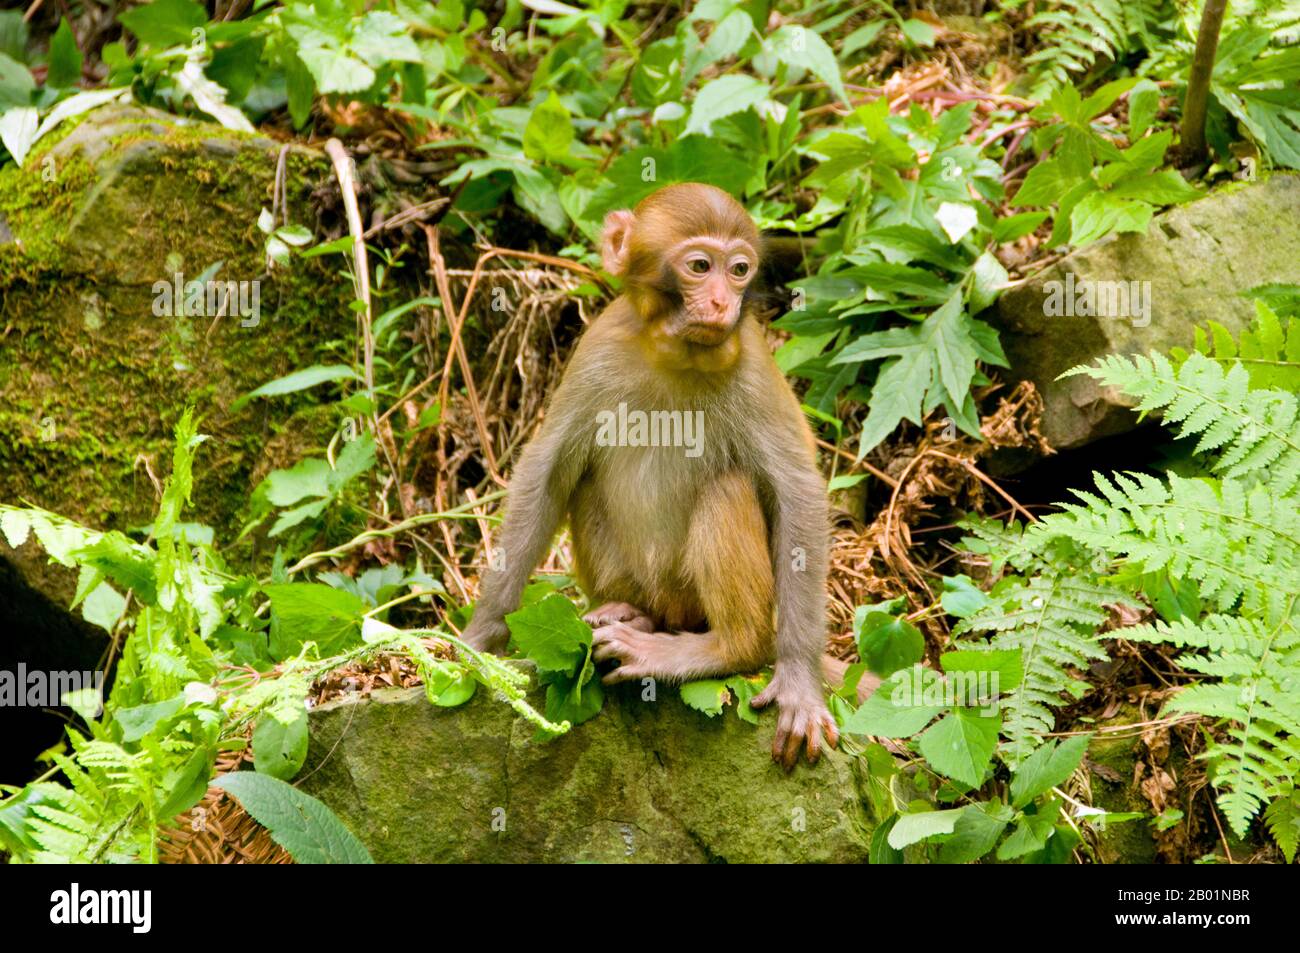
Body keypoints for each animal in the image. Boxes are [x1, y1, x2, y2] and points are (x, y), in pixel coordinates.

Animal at [462, 182, 845, 769]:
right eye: (699, 266)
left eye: (739, 270)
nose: (722, 302)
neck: (676, 349)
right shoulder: (597, 349)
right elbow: (548, 473)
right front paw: (481, 638)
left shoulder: (754, 368)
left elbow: (796, 492)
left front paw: (800, 683)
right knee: (586, 482)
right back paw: (630, 615)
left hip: (695, 603)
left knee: (727, 487)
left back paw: (722, 646)